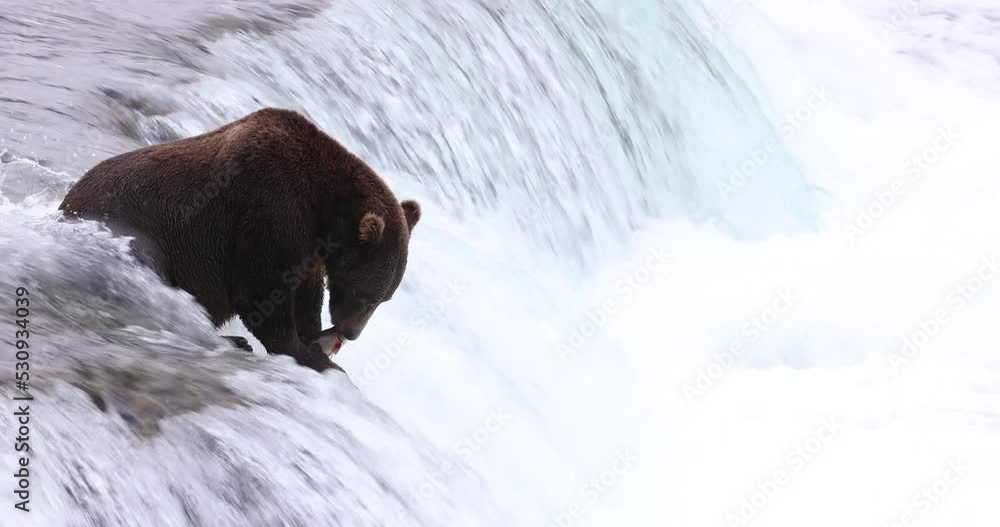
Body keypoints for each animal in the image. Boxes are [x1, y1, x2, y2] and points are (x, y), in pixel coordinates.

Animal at [59, 108, 421, 372]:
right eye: (365, 295)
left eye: (384, 299)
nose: (351, 333)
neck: (324, 213)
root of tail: (64, 204)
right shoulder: (268, 214)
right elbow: (262, 295)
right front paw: (311, 356)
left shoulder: (307, 249)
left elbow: (305, 293)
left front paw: (313, 338)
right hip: (126, 231)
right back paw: (234, 340)